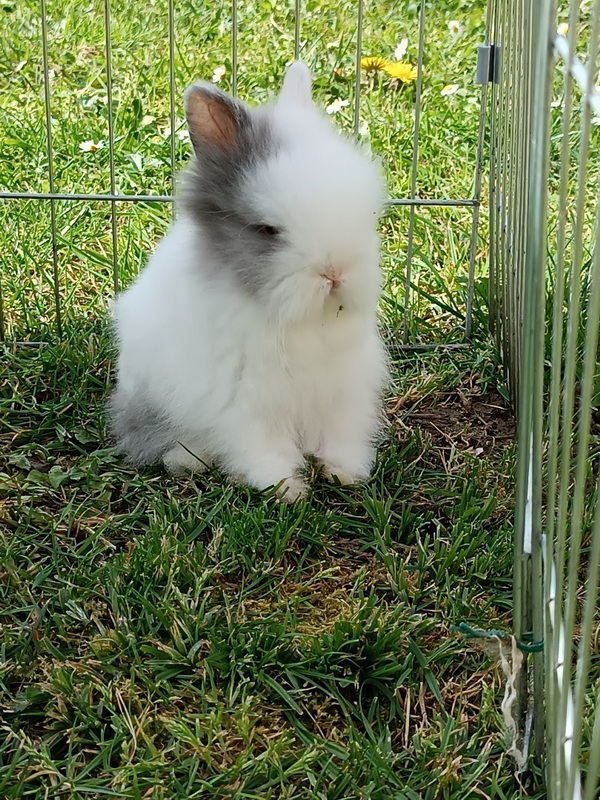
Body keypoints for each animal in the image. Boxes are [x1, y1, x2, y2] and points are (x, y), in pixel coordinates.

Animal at [109, 61, 388, 502]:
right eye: (267, 230)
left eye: (367, 213)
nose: (335, 273)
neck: (302, 322)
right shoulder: (245, 401)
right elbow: (262, 446)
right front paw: (286, 489)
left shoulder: (343, 392)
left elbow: (342, 434)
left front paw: (346, 473)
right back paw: (188, 460)